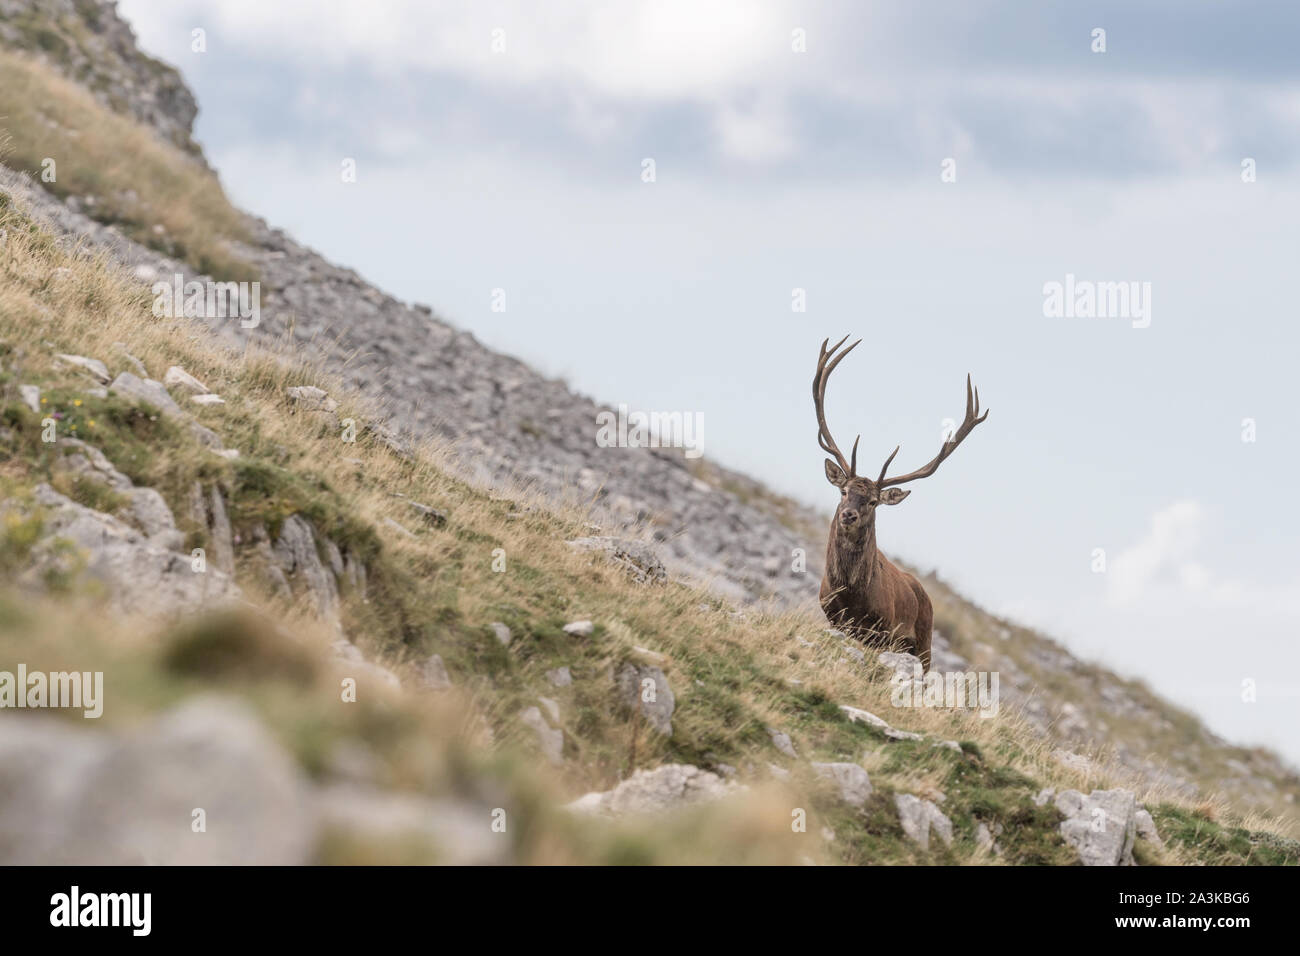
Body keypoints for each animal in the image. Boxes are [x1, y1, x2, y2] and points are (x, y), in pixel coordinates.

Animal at [813, 335, 988, 672]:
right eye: (844, 491)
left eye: (872, 501)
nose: (848, 515)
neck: (851, 595)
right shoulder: (832, 616)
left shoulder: (882, 629)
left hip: (924, 642)